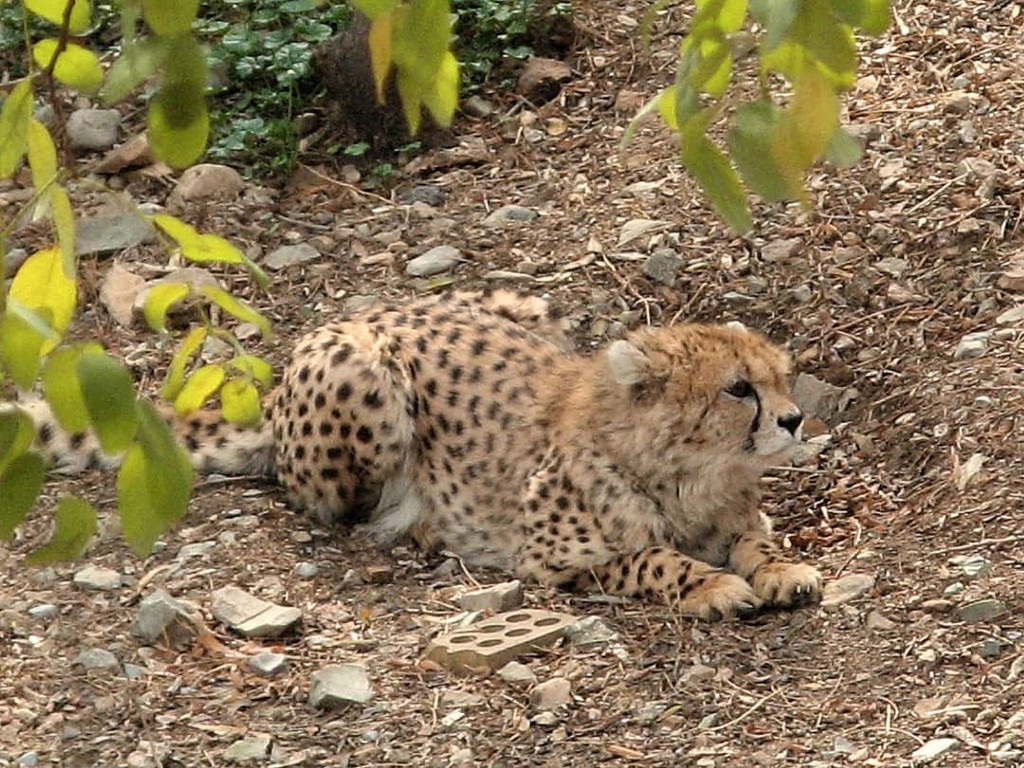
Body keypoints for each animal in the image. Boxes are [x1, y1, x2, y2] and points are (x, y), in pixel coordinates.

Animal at [24, 289, 822, 620]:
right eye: (738, 388)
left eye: (782, 375)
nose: (793, 418)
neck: (687, 473)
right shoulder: (550, 558)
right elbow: (653, 556)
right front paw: (712, 585)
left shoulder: (731, 513)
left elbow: (755, 538)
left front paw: (781, 570)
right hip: (363, 377)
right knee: (325, 502)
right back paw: (421, 521)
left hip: (527, 306)